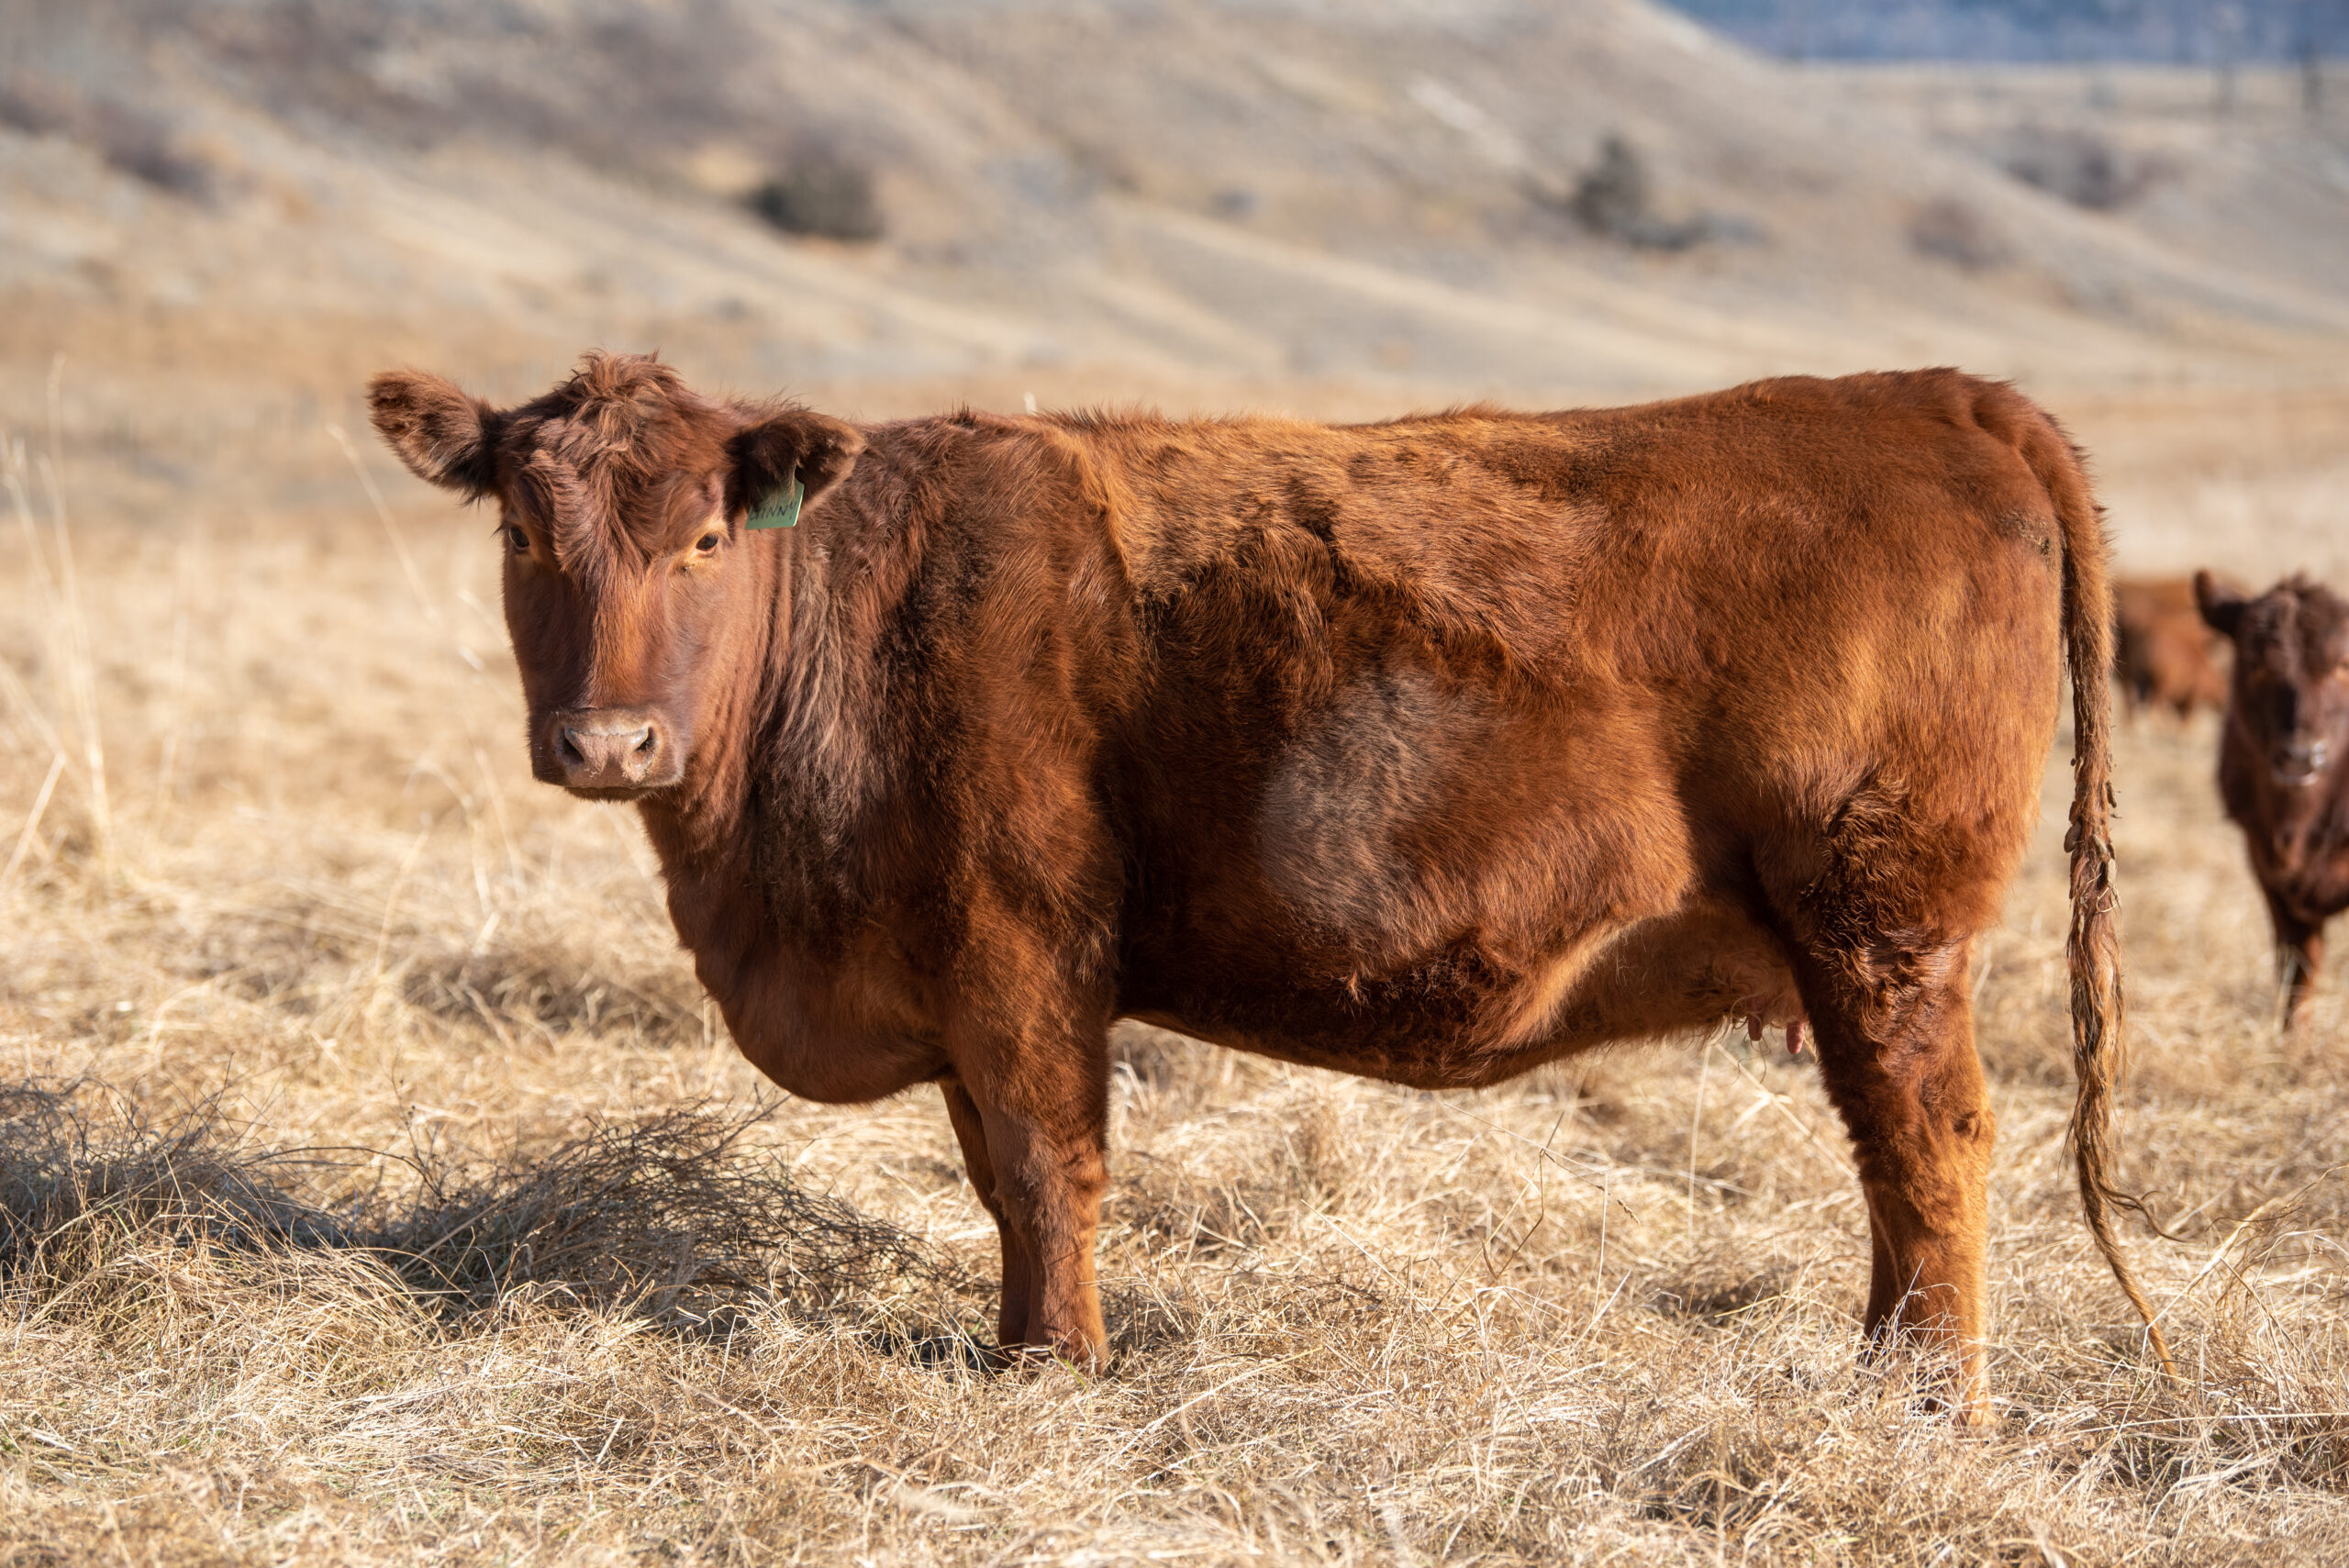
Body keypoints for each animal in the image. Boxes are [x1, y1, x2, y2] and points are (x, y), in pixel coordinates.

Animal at [368, 354, 2174, 1421]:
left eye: (702, 540)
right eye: (524, 534)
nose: (608, 738)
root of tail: (1935, 392)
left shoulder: (1024, 954)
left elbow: (1049, 1168)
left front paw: (1056, 1372)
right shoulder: (963, 988)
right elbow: (1001, 1176)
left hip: (1885, 932)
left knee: (1932, 1148)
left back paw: (1925, 1398)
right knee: (1892, 1163)